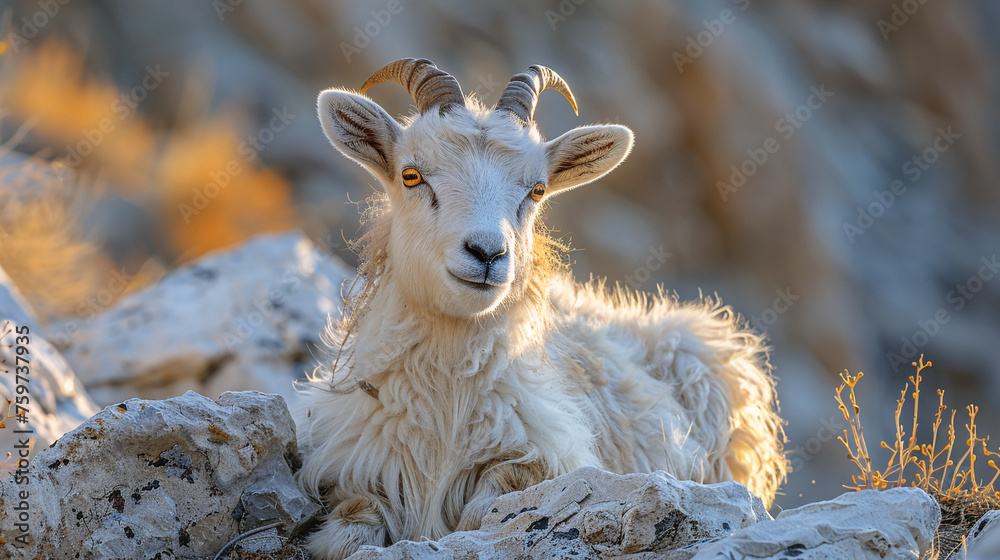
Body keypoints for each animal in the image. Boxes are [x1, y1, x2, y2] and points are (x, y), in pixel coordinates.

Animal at [296, 58, 788, 559]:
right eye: (411, 175)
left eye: (536, 189)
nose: (488, 253)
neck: (445, 416)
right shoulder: (348, 464)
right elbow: (350, 527)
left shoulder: (552, 455)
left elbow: (493, 498)